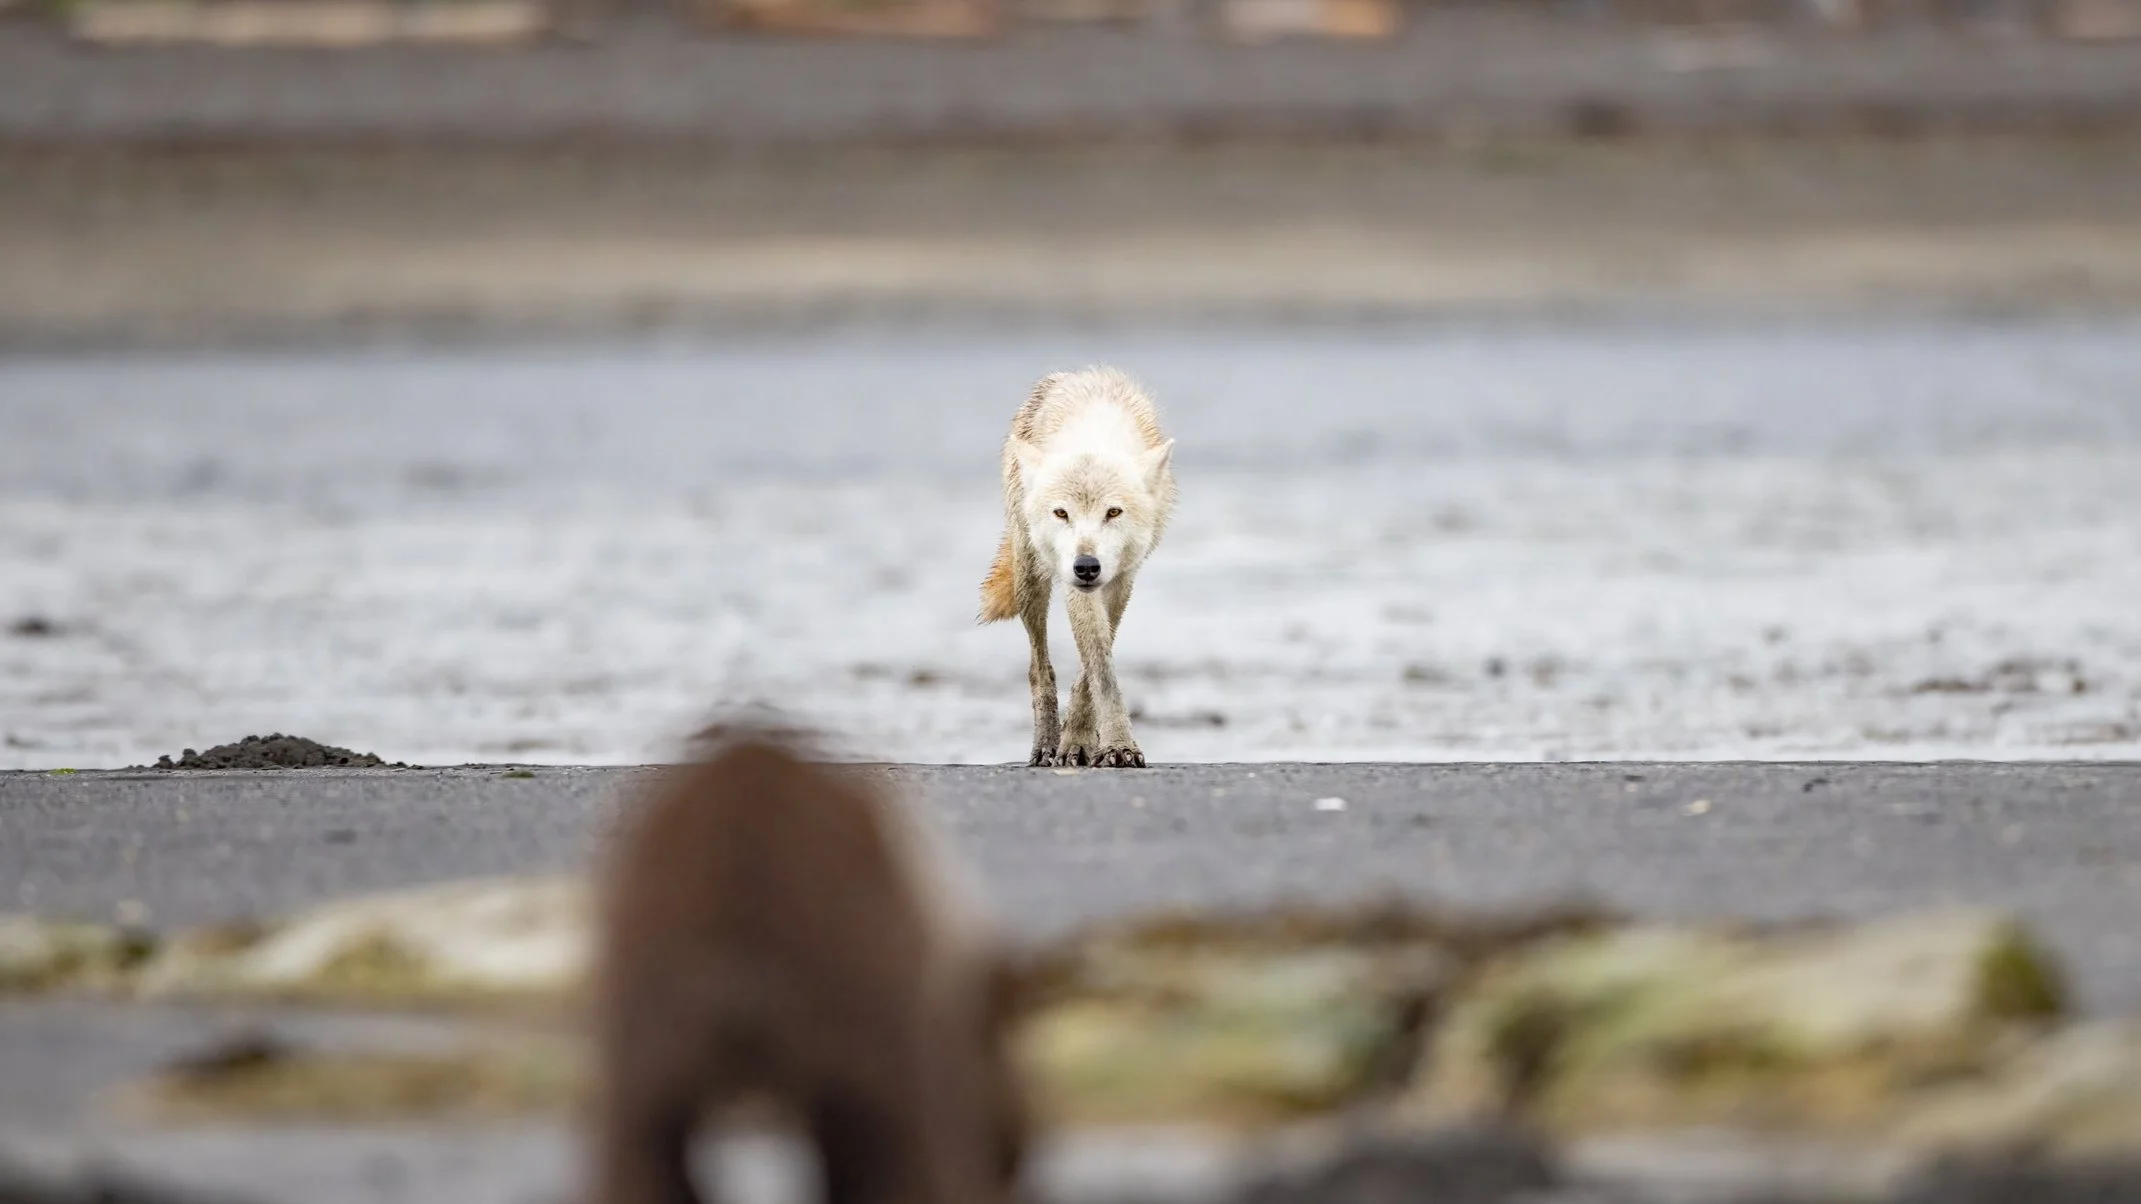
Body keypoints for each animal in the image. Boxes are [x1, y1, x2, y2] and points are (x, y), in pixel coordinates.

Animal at [978, 367, 1176, 768]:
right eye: (1061, 513)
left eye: (1113, 512)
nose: (1086, 566)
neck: (1094, 430)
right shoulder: (1074, 584)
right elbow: (1099, 664)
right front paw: (1108, 743)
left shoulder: (1120, 579)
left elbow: (1093, 669)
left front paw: (1091, 742)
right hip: (1030, 580)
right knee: (1039, 668)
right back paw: (1045, 745)